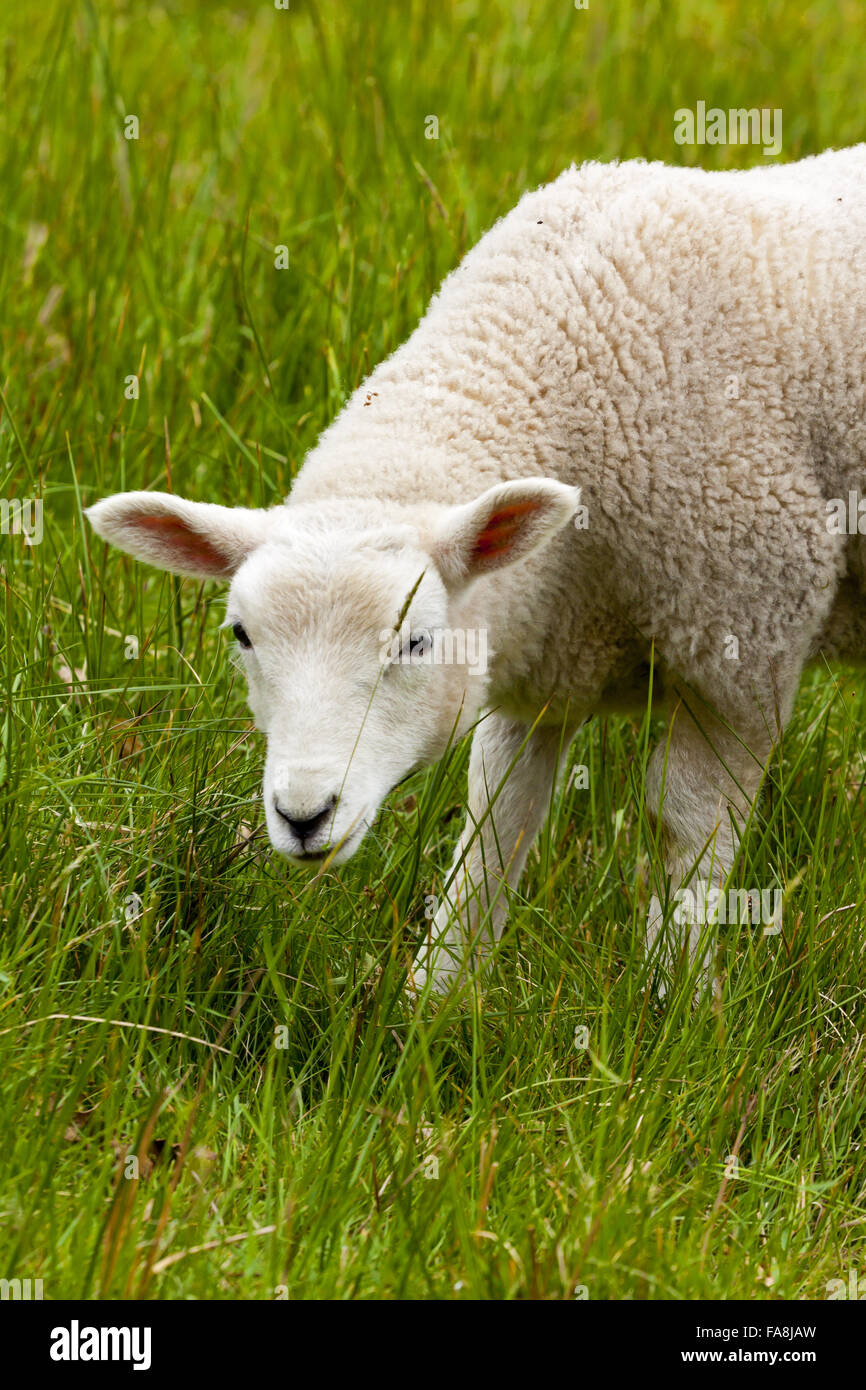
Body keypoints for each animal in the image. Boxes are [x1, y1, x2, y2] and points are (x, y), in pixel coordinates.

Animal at [87, 145, 866, 996]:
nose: (303, 816)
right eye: (243, 637)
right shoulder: (542, 648)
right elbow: (498, 817)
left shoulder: (744, 648)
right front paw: (437, 993)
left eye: (416, 643)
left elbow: (685, 826)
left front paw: (678, 997)